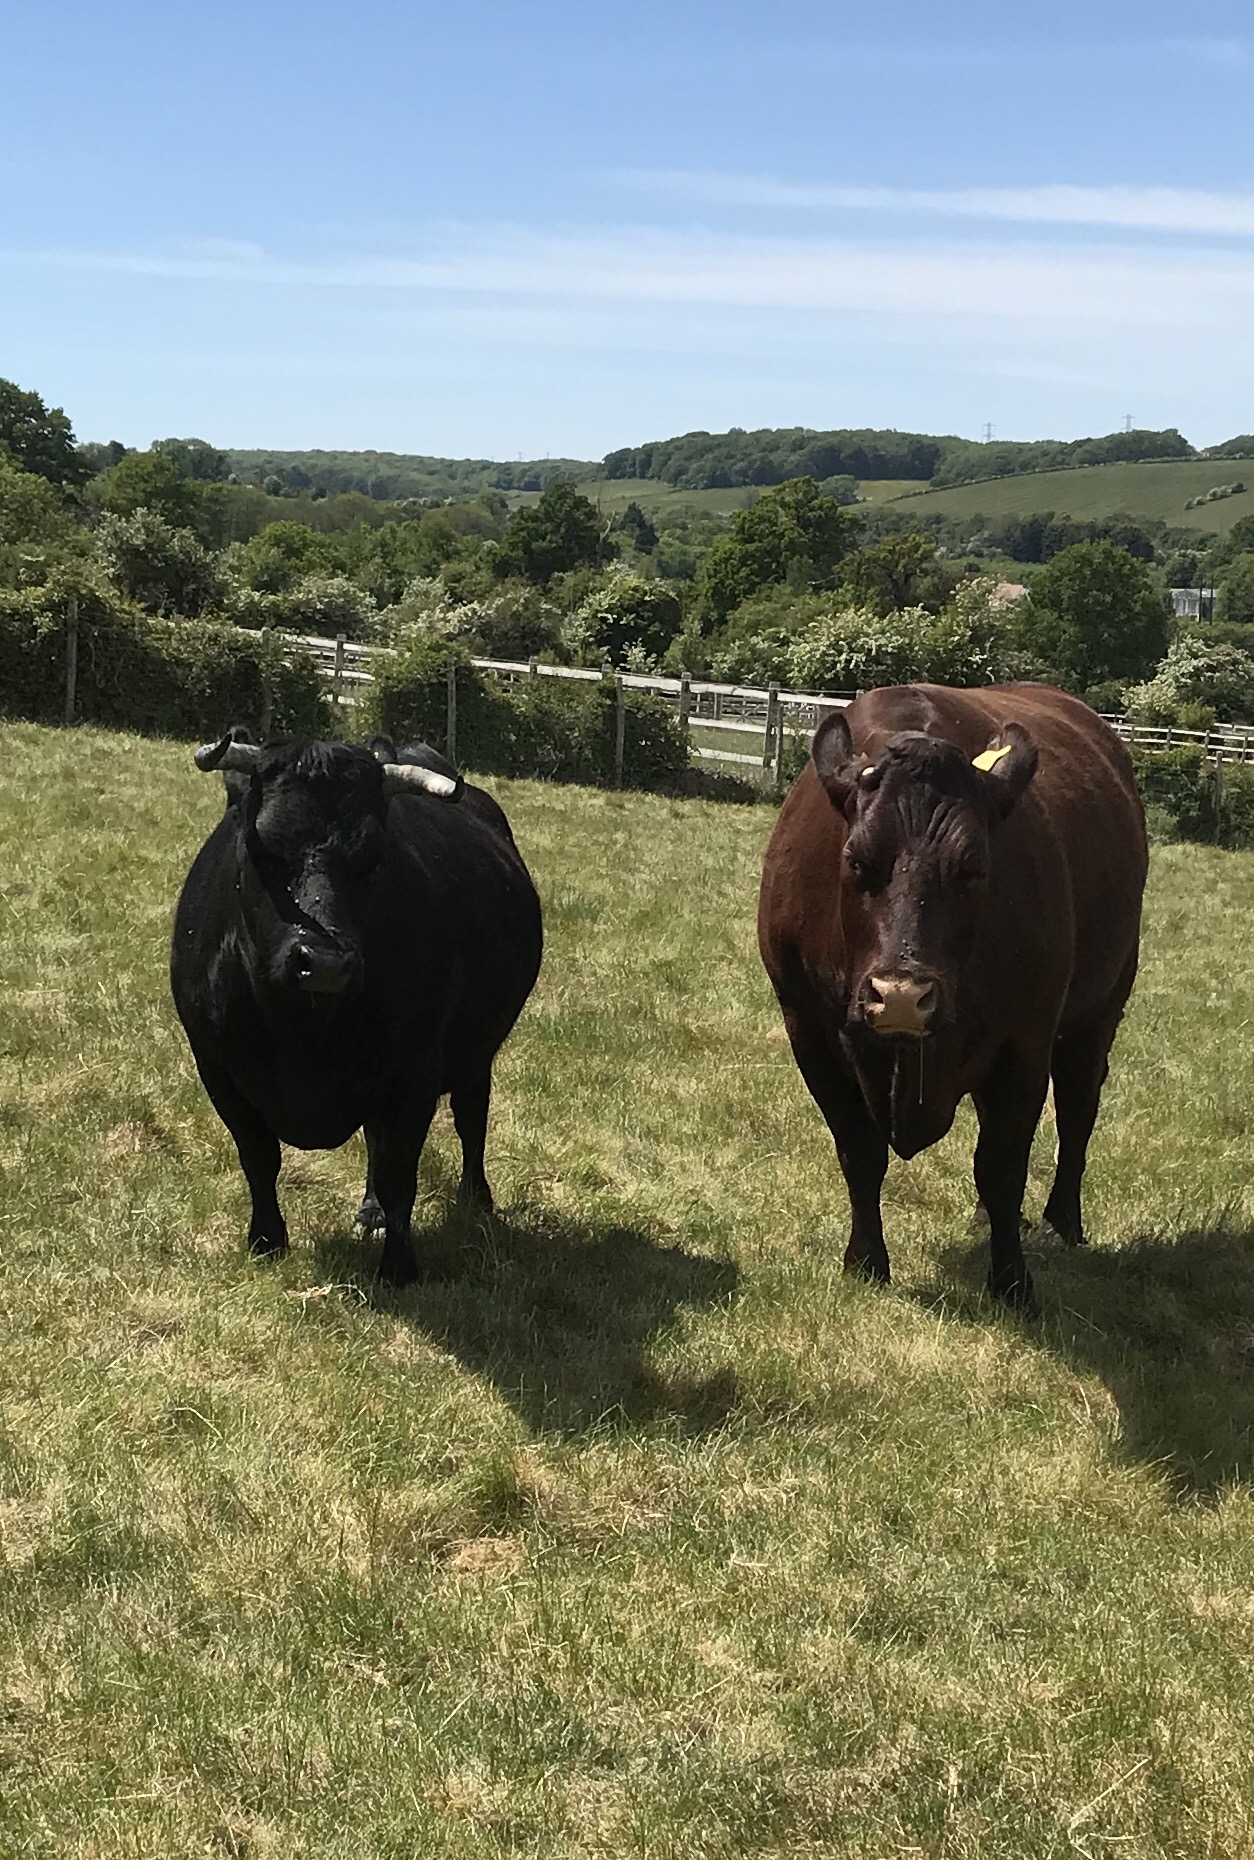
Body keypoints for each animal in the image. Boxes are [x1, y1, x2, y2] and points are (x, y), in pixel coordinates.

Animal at [170, 730, 542, 1285]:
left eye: (373, 858)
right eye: (263, 851)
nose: (324, 963)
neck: (301, 1031)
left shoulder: (415, 1073)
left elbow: (400, 1173)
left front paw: (398, 1268)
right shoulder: (216, 1067)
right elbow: (259, 1157)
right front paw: (266, 1242)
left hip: (477, 1049)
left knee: (470, 1117)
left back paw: (475, 1198)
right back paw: (371, 1211)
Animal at [758, 683, 1147, 1312]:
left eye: (974, 867)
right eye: (855, 860)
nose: (900, 996)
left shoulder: (1025, 1042)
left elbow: (1004, 1165)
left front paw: (1012, 1282)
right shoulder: (807, 1028)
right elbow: (859, 1152)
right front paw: (865, 1261)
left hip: (1102, 1007)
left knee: (1078, 1110)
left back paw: (1064, 1222)